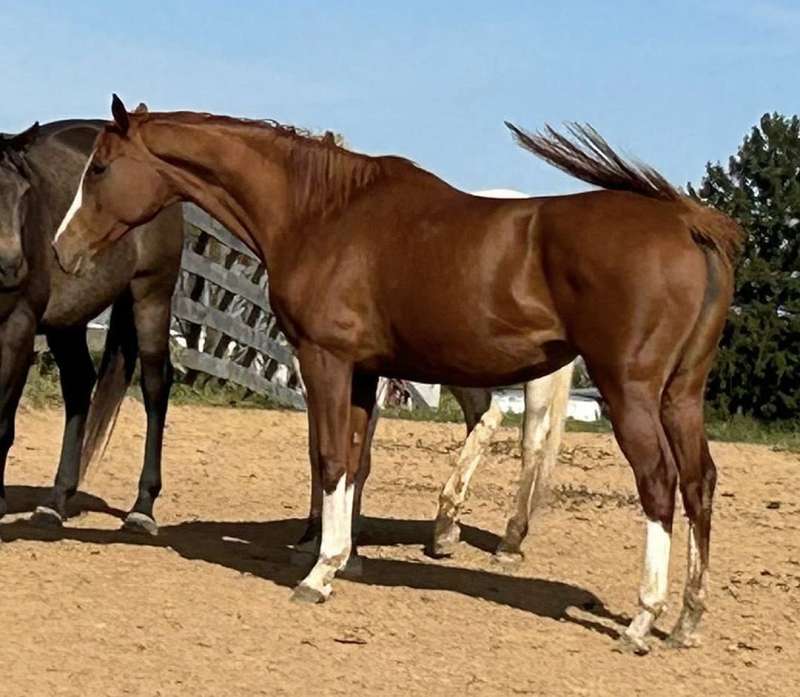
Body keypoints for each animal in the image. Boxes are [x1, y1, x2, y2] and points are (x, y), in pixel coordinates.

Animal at [0, 117, 182, 533]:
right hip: (67, 321)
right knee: (80, 383)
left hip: (151, 296)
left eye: (24, 193)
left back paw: (142, 507)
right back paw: (56, 500)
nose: (13, 267)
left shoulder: (18, 330)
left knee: (155, 385)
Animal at [53, 96, 741, 653]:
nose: (63, 250)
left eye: (100, 168)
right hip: (680, 396)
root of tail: (684, 223)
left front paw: (319, 571)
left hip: (630, 392)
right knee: (699, 483)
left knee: (658, 484)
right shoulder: (362, 373)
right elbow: (354, 461)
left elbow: (330, 457)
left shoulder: (326, 360)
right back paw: (687, 620)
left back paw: (642, 619)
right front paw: (342, 558)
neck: (322, 212)